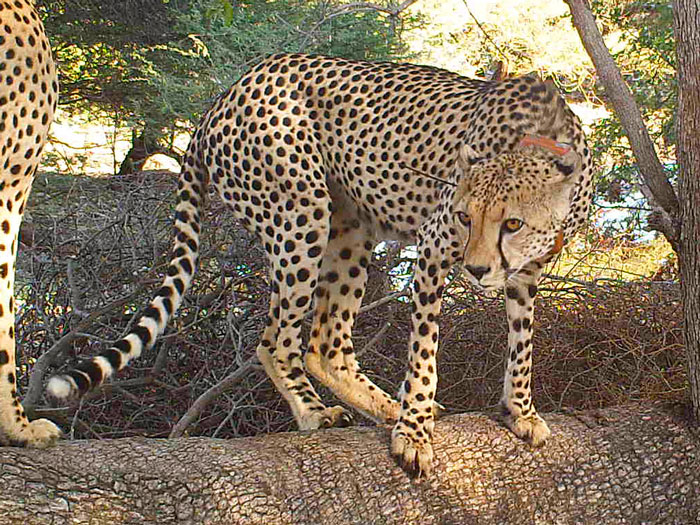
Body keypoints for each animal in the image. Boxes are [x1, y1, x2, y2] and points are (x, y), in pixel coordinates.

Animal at [48, 53, 593, 476]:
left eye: (512, 224)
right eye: (464, 216)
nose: (477, 270)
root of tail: (225, 94)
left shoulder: (527, 272)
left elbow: (523, 344)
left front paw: (520, 411)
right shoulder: (434, 251)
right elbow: (424, 357)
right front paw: (415, 433)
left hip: (350, 231)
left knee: (326, 343)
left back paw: (383, 405)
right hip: (301, 213)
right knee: (276, 341)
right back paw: (318, 413)